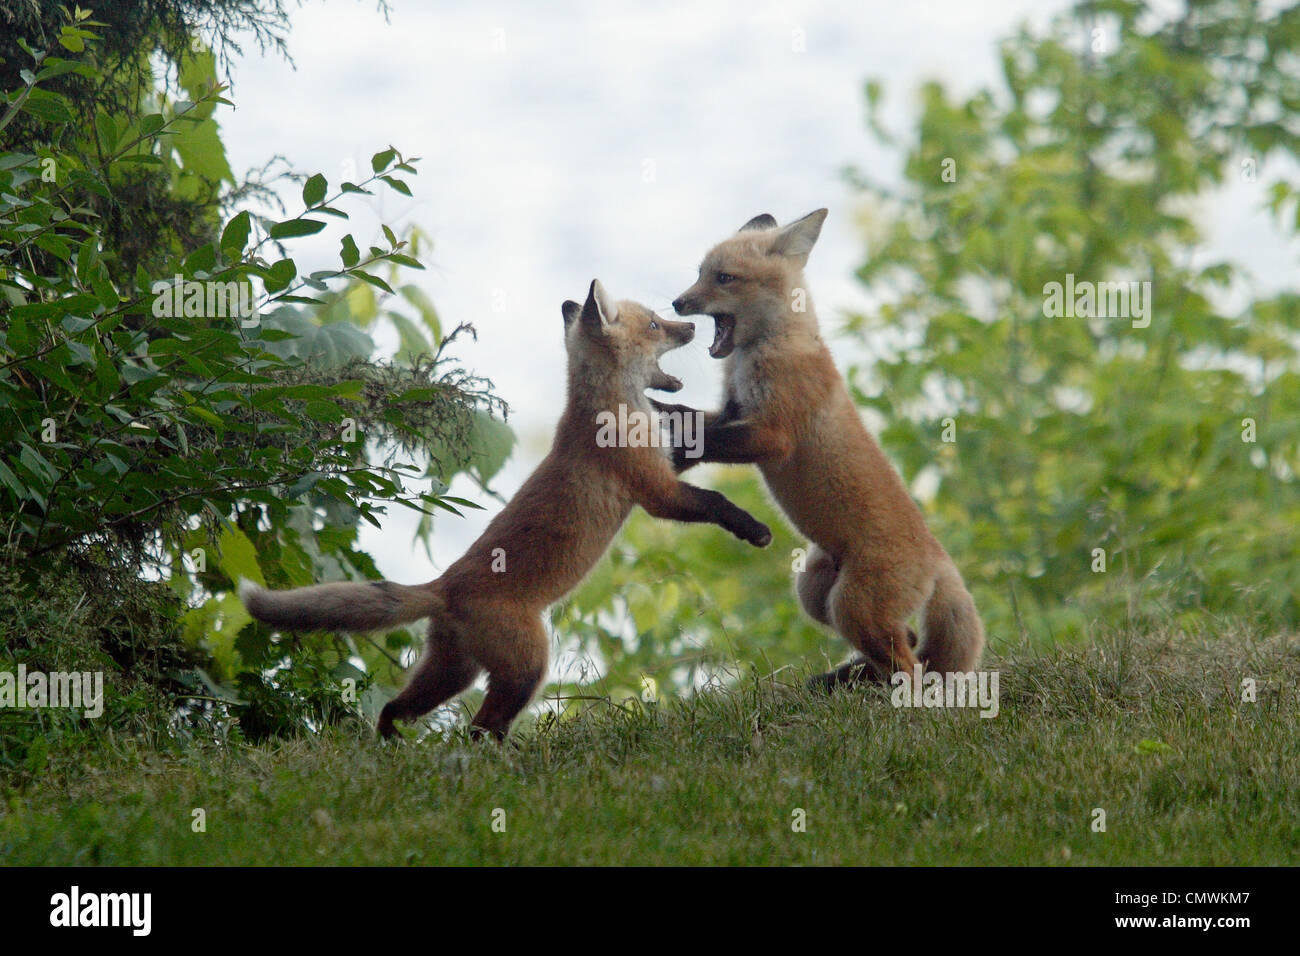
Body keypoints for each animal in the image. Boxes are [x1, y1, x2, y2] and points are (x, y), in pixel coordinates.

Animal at [240, 279, 771, 740]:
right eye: (657, 325)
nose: (691, 326)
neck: (611, 409)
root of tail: (443, 586)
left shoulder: (667, 459)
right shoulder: (654, 490)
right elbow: (714, 502)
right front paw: (754, 529)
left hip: (453, 672)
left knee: (397, 707)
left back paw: (391, 741)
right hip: (526, 666)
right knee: (480, 729)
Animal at [663, 209, 984, 690]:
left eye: (724, 278)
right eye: (699, 273)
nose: (677, 303)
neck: (767, 349)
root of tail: (938, 557)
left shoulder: (773, 435)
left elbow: (707, 438)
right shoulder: (732, 411)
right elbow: (694, 425)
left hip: (852, 606)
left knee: (910, 666)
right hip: (816, 593)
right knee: (906, 641)